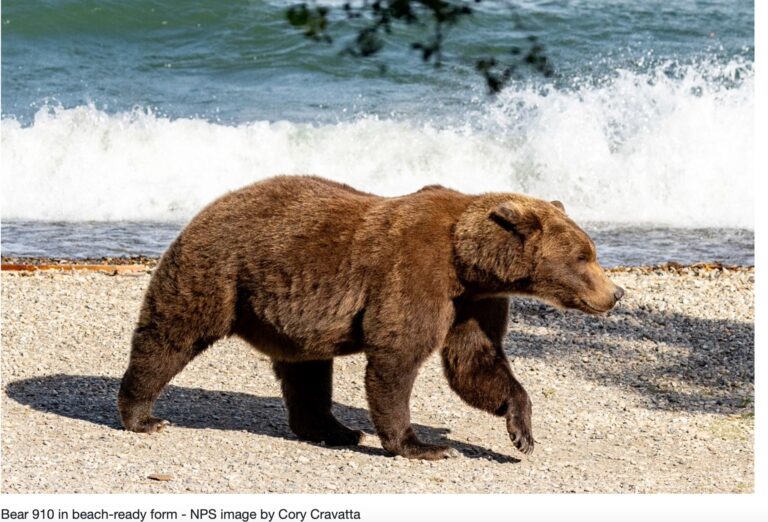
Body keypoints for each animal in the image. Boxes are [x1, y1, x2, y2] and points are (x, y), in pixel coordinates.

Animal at [118, 175, 624, 459]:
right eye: (584, 256)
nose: (615, 293)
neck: (469, 263)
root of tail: (208, 206)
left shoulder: (474, 303)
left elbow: (475, 362)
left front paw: (521, 432)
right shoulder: (417, 272)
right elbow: (397, 356)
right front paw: (424, 445)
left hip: (290, 317)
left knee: (307, 372)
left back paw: (337, 430)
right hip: (220, 271)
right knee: (170, 334)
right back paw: (142, 414)